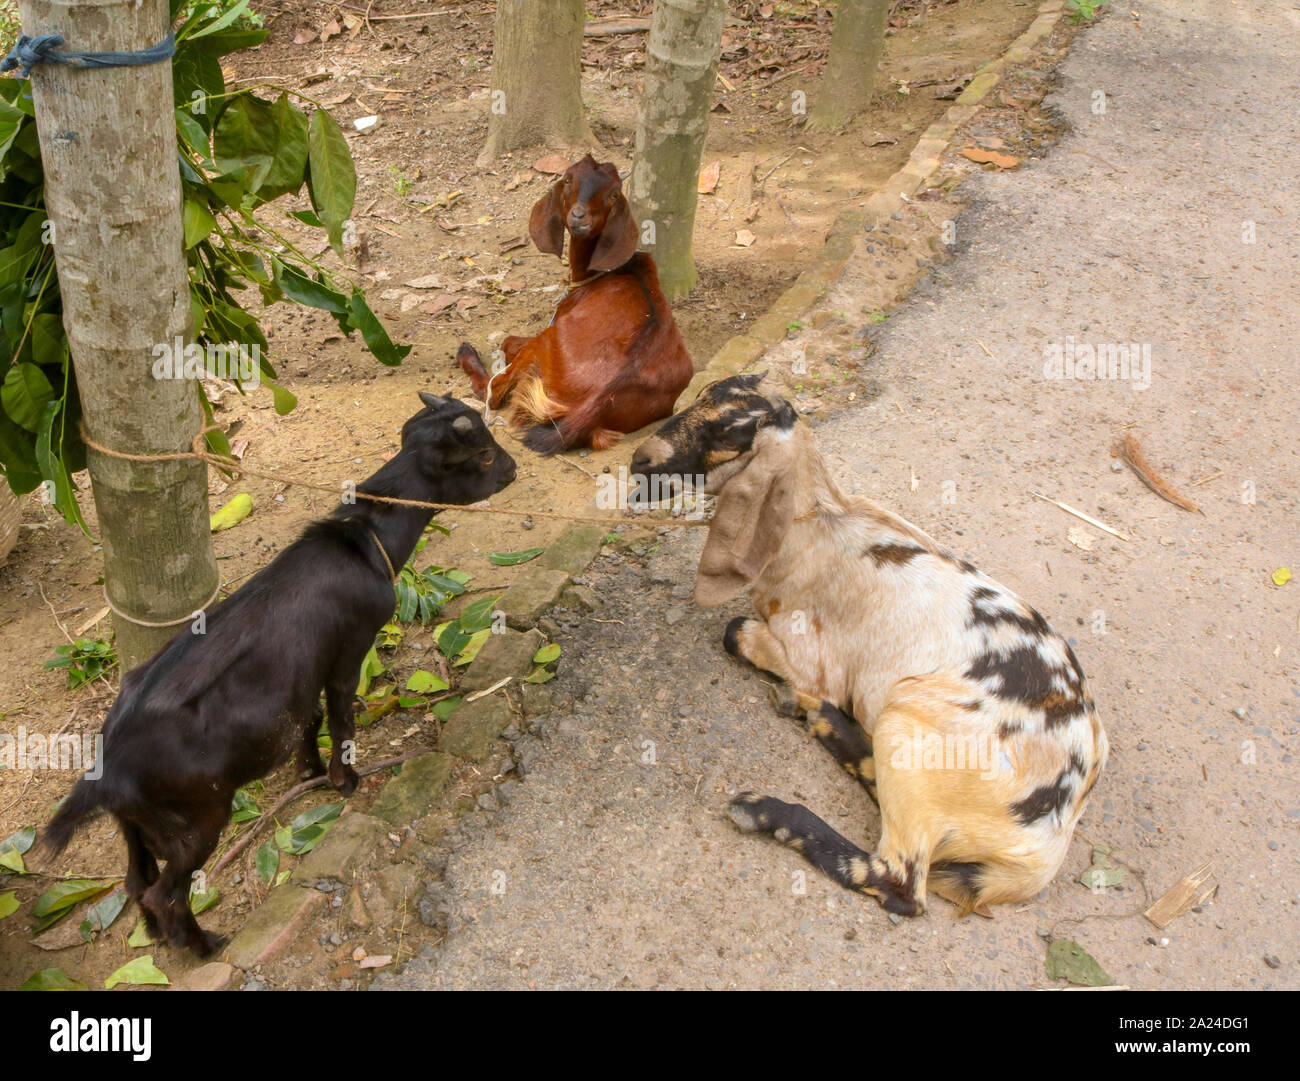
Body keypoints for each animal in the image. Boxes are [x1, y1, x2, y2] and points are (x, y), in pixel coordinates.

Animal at [43, 393, 517, 956]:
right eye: (483, 455)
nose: (513, 469)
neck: (365, 541)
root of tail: (108, 768)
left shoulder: (302, 673)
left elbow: (307, 718)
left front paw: (307, 773)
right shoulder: (349, 649)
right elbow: (340, 714)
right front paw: (344, 780)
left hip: (133, 824)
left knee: (137, 881)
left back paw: (158, 935)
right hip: (197, 818)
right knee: (167, 891)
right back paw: (205, 945)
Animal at [457, 154, 694, 455]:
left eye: (613, 194)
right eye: (569, 179)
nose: (580, 217)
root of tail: (598, 403)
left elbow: (508, 342)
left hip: (545, 343)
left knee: (493, 393)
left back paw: (467, 354)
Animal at [629, 373, 1108, 917]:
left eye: (729, 432)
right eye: (697, 394)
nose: (639, 460)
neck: (815, 525)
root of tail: (1047, 846)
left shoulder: (813, 658)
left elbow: (733, 631)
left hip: (909, 722)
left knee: (900, 881)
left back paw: (766, 806)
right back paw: (819, 719)